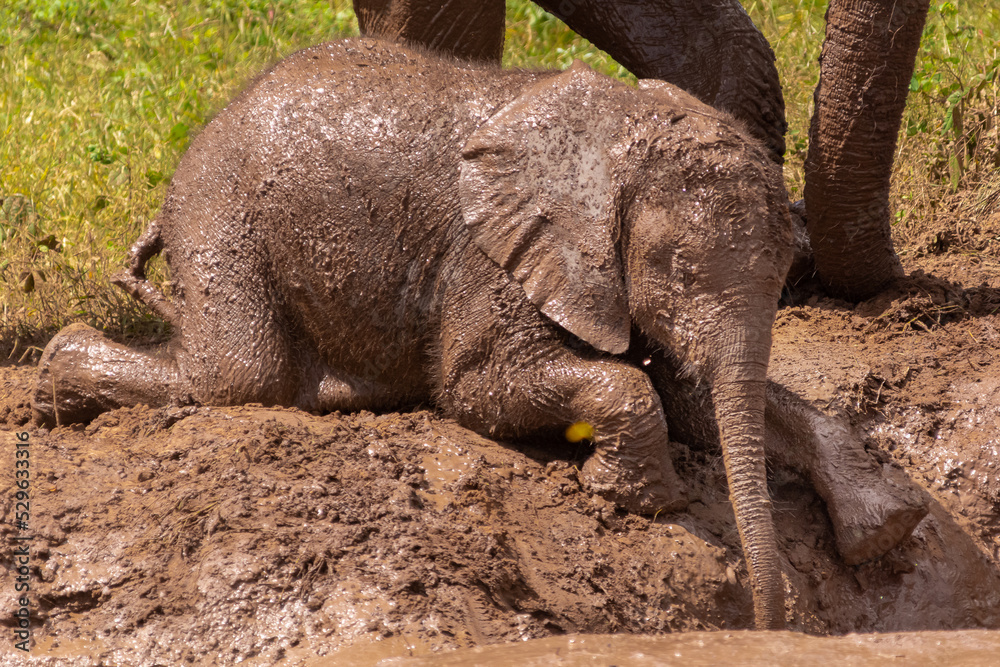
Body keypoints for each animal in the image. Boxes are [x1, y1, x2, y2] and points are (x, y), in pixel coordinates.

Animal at [32, 39, 926, 629]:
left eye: (786, 273)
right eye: (674, 267)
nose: (775, 624)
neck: (618, 129)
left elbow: (703, 402)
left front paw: (886, 523)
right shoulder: (491, 255)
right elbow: (483, 392)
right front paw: (639, 498)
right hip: (222, 209)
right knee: (240, 377)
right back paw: (55, 382)